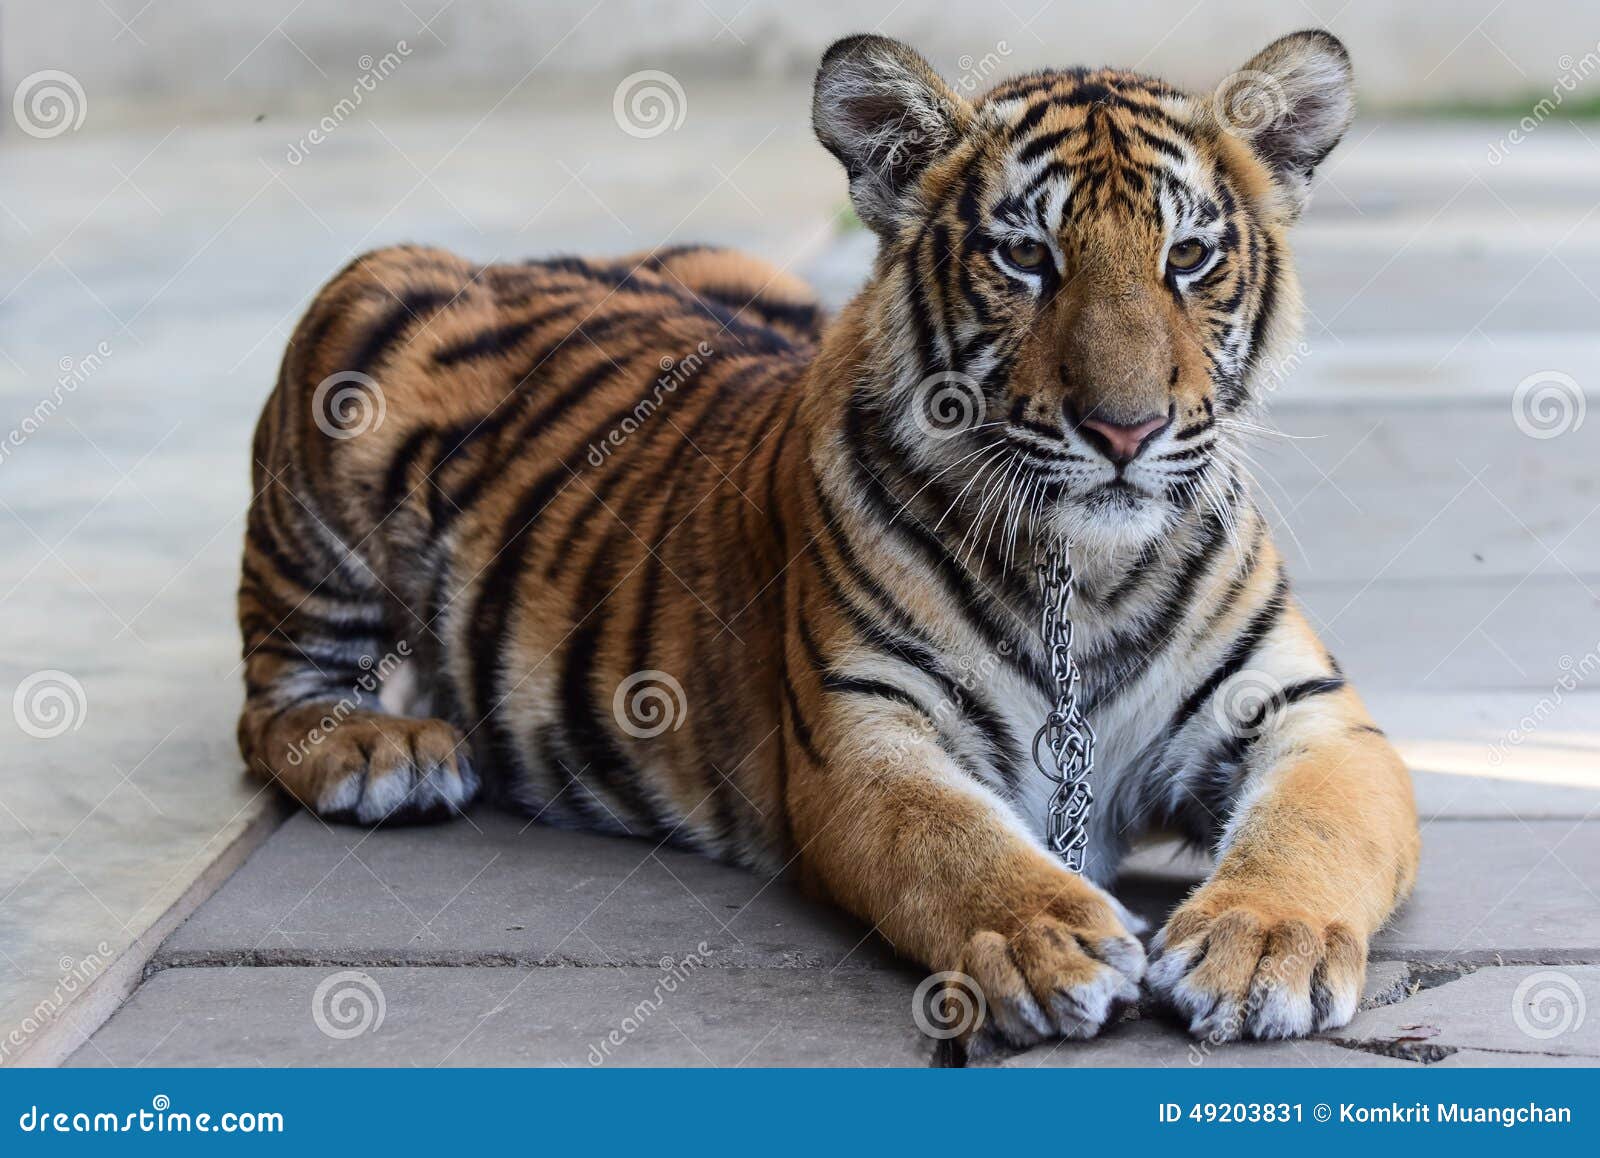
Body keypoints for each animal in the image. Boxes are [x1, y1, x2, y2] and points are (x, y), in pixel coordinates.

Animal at [237, 29, 1420, 1059]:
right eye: (1025, 257)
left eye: (1189, 256)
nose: (1125, 431)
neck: (1084, 576)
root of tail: (533, 258)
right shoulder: (862, 734)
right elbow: (950, 845)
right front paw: (1047, 941)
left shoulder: (1306, 715)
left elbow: (1310, 829)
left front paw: (1261, 946)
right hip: (363, 309)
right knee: (273, 704)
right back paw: (384, 753)